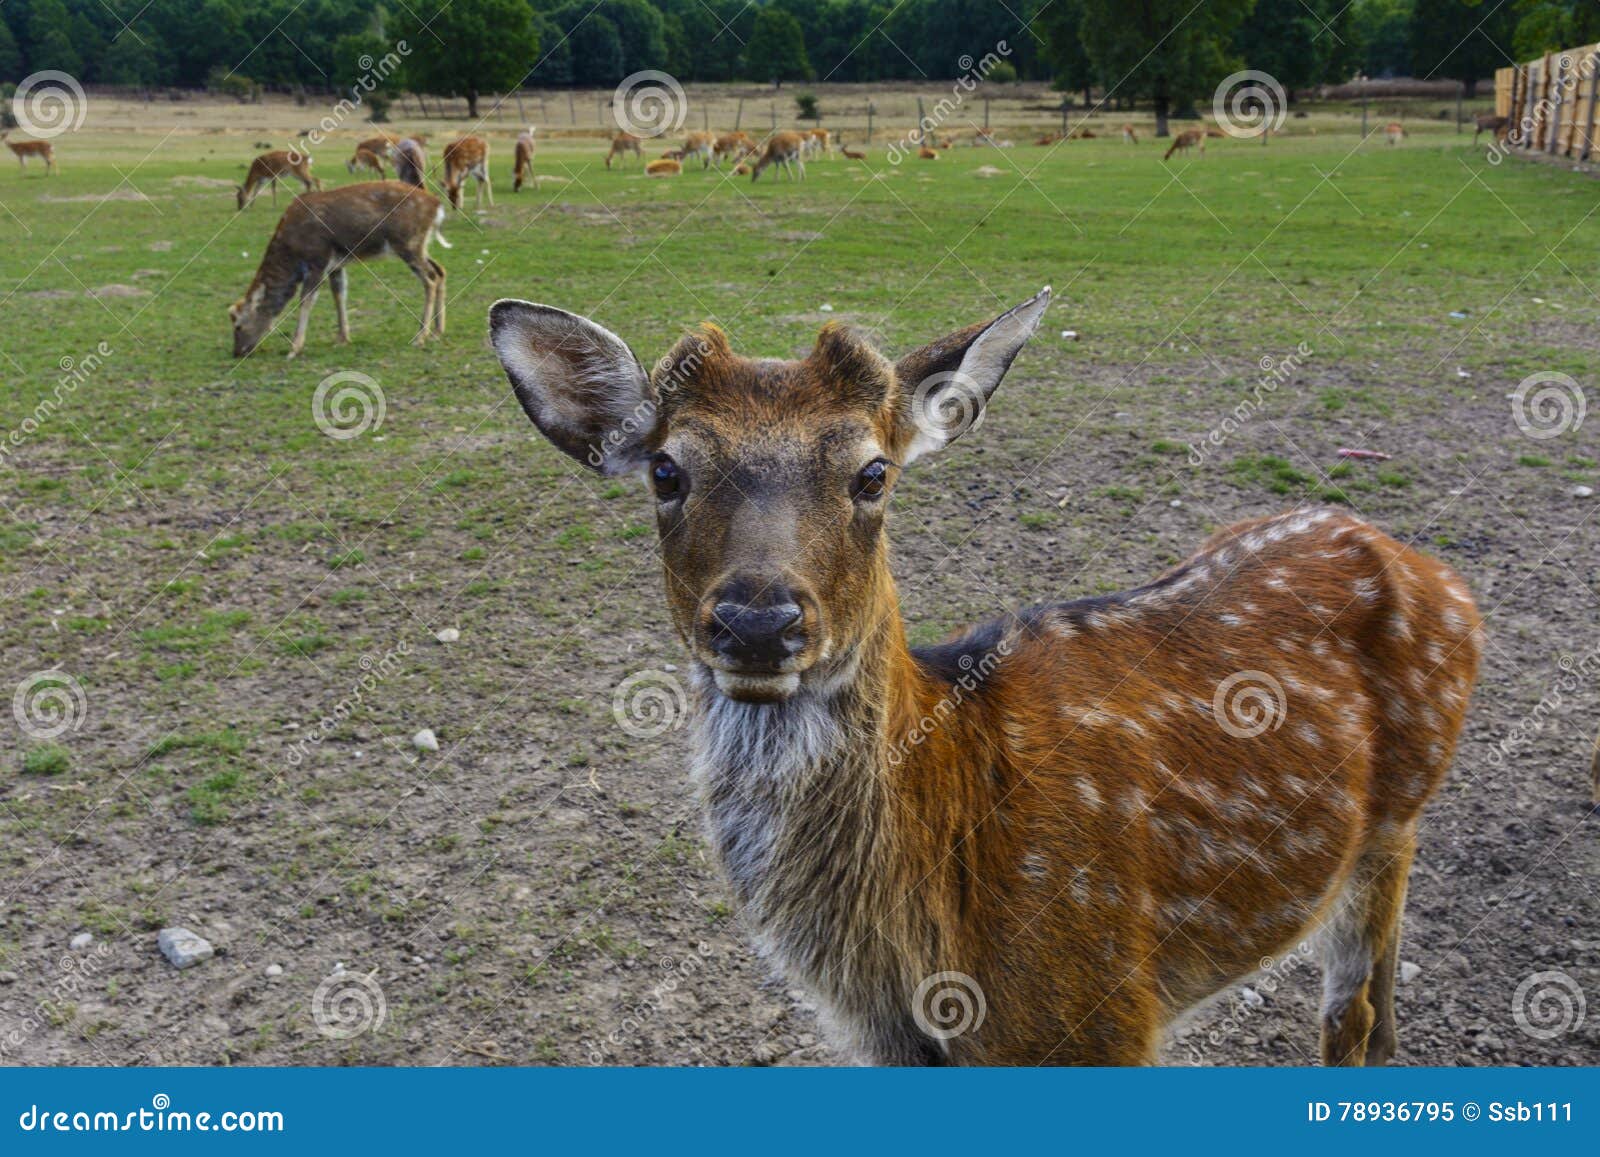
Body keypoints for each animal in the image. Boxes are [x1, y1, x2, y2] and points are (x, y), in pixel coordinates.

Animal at [230, 181, 448, 359]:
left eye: (238, 325)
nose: (237, 352)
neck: (291, 252)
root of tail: (437, 206)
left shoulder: (317, 260)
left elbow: (306, 300)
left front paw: (294, 348)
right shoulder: (335, 266)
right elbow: (339, 294)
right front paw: (342, 338)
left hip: (408, 243)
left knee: (429, 279)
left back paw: (420, 336)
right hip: (420, 245)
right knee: (440, 270)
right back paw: (437, 331)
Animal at [487, 288, 1482, 1066]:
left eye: (873, 473)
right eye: (666, 470)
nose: (759, 621)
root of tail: (1425, 564)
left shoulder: (1108, 1017)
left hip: (1396, 816)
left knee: (1353, 1013)